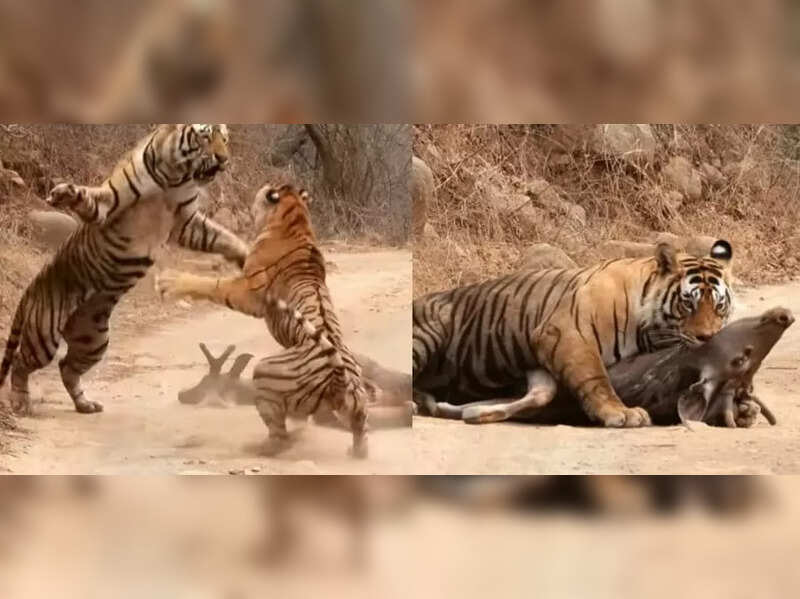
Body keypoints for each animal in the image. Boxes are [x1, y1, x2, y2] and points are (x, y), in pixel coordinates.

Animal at [0, 124, 248, 416]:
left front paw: (247, 256)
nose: (223, 159)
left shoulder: (185, 222)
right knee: (21, 362)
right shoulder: (109, 204)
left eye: (226, 139)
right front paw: (63, 193)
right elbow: (86, 197)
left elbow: (223, 236)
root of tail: (31, 287)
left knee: (67, 368)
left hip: (93, 340)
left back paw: (85, 404)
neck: (175, 177)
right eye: (205, 136)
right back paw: (21, 402)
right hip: (44, 335)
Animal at [154, 184, 369, 458]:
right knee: (361, 433)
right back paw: (356, 451)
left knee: (279, 436)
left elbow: (212, 285)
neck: (294, 219)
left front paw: (170, 281)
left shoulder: (248, 293)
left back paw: (258, 448)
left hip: (264, 373)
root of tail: (338, 380)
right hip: (359, 403)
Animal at [413, 240, 734, 427]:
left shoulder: (539, 361)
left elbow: (542, 394)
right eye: (688, 303)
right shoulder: (566, 333)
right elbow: (595, 379)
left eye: (719, 305)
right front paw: (620, 413)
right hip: (426, 336)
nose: (708, 337)